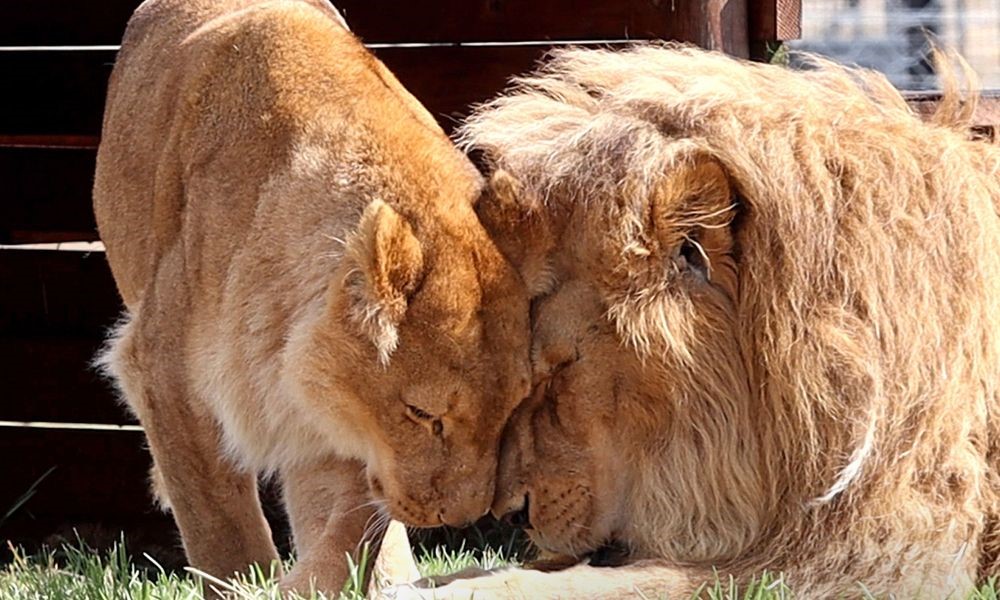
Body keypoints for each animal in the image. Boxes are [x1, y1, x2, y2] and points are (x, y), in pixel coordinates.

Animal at [91, 0, 531, 593]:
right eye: (421, 413)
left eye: (513, 411)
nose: (460, 520)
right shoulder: (163, 377)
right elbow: (220, 528)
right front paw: (245, 585)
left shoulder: (331, 430)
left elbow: (347, 529)